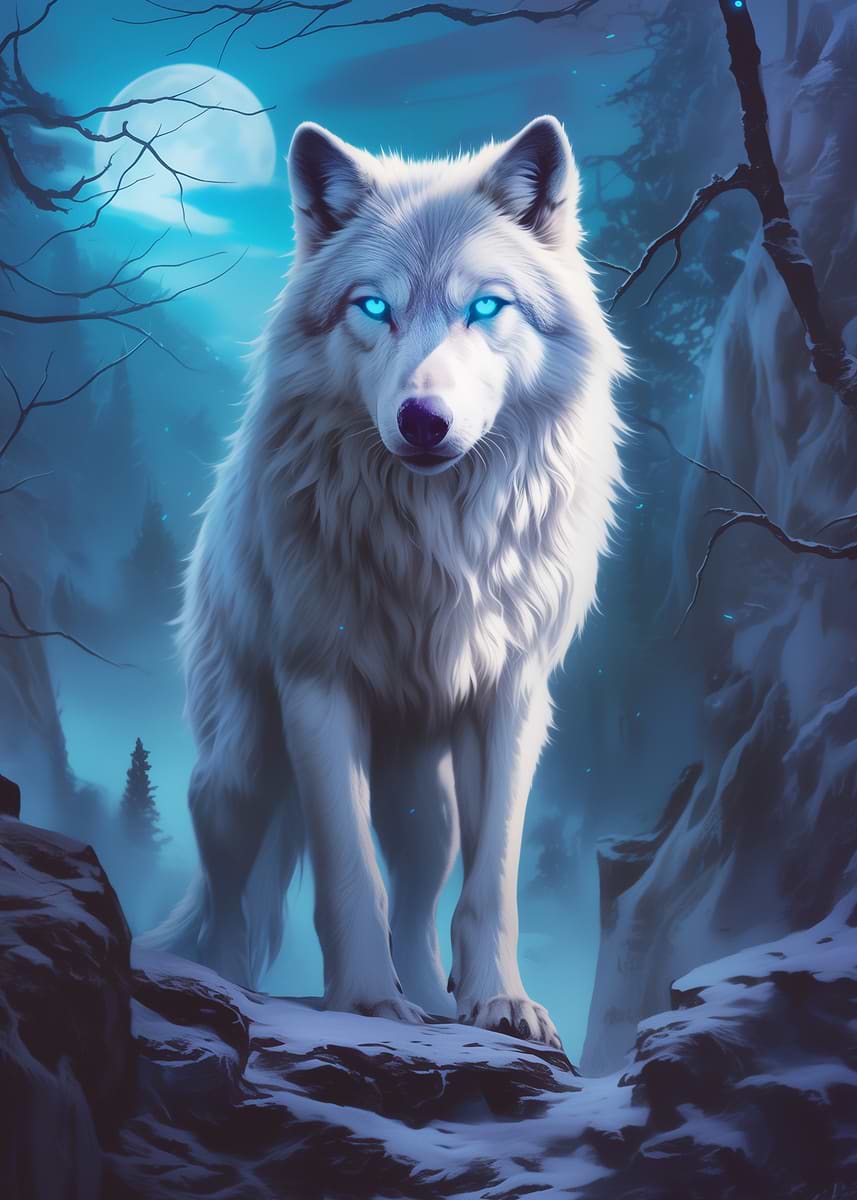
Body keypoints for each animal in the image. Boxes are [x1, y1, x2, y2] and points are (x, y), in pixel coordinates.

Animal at [144, 115, 626, 1048]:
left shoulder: (512, 695)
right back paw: (222, 982)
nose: (422, 420)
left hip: (420, 806)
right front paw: (365, 1002)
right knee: (228, 900)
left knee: (418, 894)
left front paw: (500, 1002)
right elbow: (345, 875)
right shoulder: (316, 685)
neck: (437, 537)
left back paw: (435, 1002)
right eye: (374, 307)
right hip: (236, 774)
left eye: (486, 306)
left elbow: (491, 882)